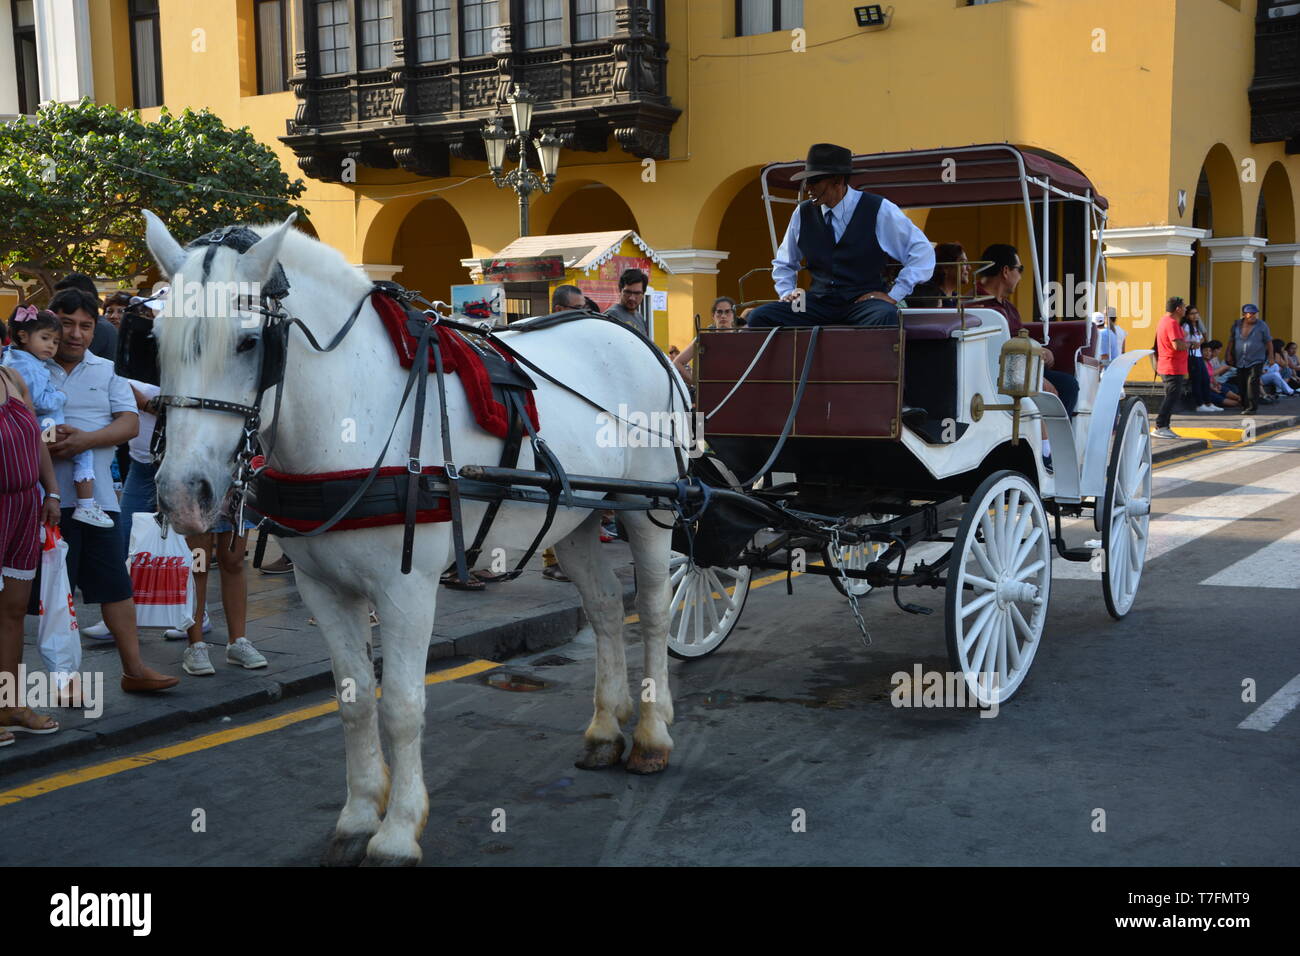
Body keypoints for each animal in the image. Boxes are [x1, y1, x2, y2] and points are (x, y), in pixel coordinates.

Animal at [143, 211, 686, 866]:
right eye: (156, 340)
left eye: (249, 342)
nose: (181, 494)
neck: (352, 409)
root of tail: (633, 337)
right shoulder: (322, 587)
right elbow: (353, 699)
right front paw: (357, 817)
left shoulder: (406, 589)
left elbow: (401, 705)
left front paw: (398, 830)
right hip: (577, 517)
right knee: (605, 610)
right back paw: (606, 727)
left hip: (649, 508)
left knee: (652, 611)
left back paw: (652, 735)